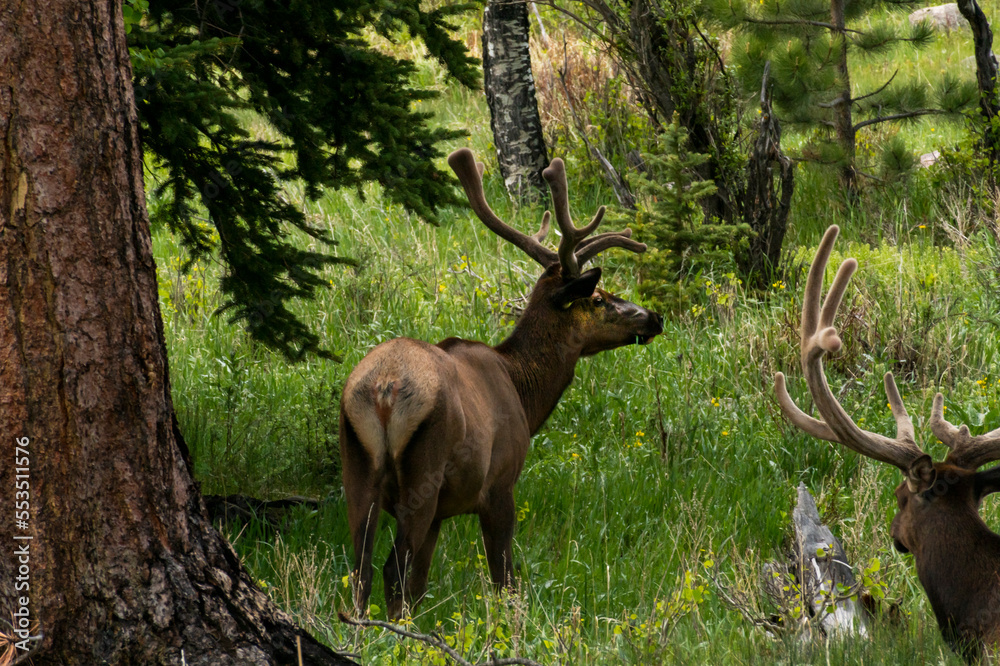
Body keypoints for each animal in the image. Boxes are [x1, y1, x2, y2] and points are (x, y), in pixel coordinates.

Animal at [339, 148, 663, 619]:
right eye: (599, 298)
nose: (655, 317)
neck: (525, 394)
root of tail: (383, 390)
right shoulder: (499, 484)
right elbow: (504, 578)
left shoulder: (443, 512)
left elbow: (421, 583)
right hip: (423, 473)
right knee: (390, 569)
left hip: (357, 467)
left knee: (362, 569)